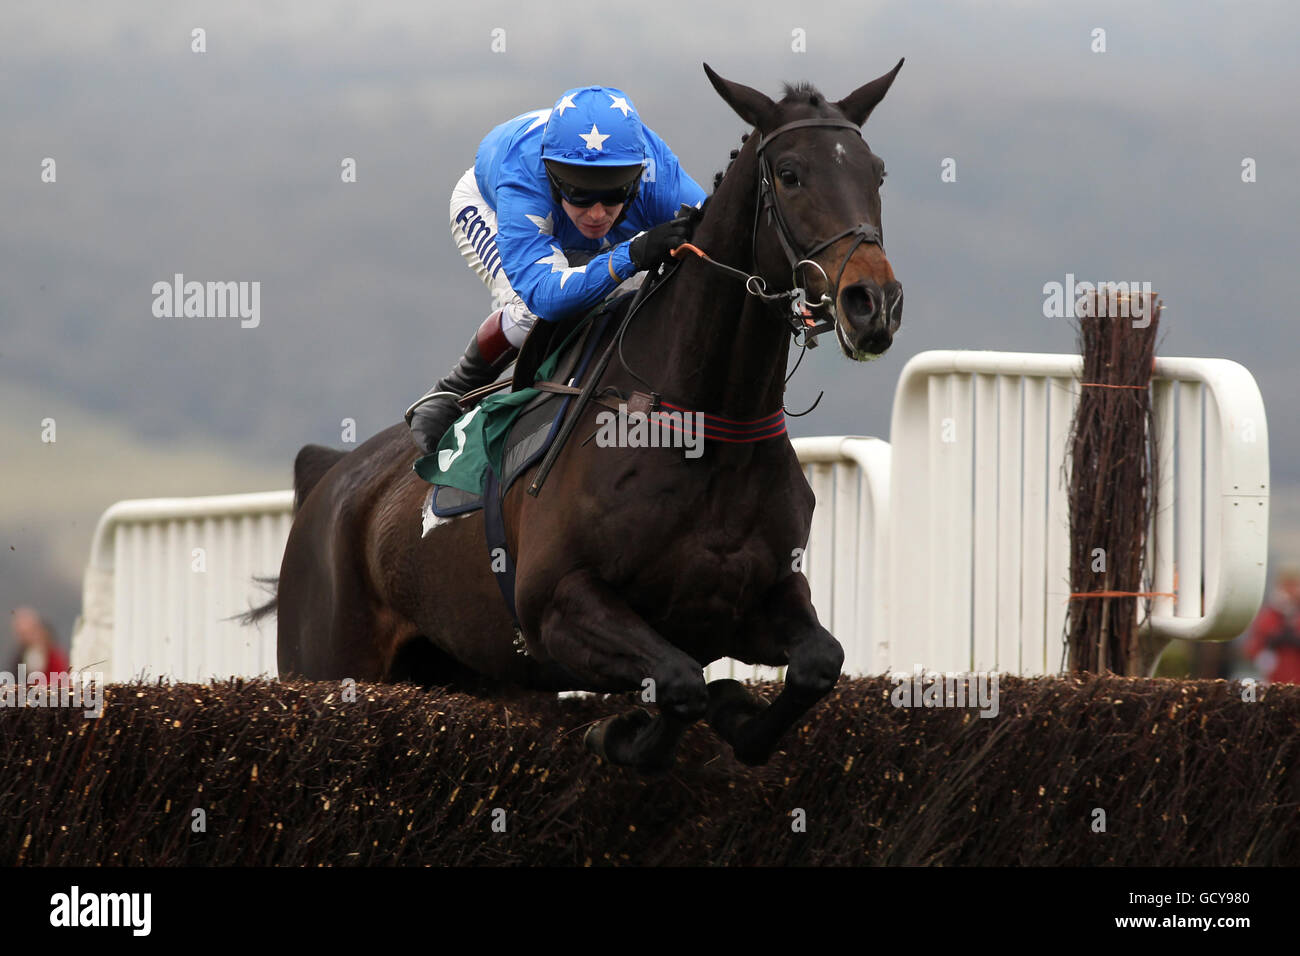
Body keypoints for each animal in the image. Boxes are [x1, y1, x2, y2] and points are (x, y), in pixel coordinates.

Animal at [250, 61, 904, 770]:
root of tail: (330, 476)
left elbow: (817, 663)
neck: (705, 430)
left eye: (876, 172)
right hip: (326, 663)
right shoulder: (557, 608)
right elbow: (680, 683)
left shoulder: (762, 597)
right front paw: (621, 731)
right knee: (521, 303)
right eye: (789, 173)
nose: (872, 302)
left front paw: (733, 709)